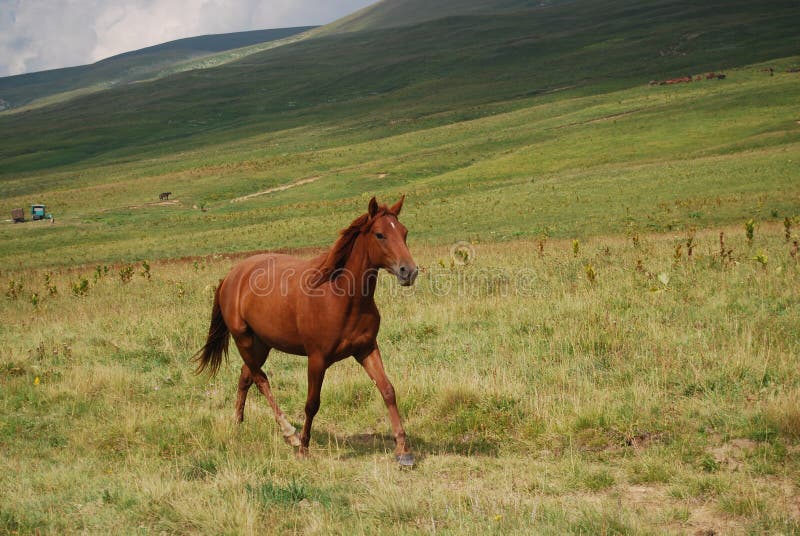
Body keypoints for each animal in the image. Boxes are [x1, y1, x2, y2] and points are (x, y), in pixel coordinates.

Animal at [194, 196, 419, 466]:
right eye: (380, 234)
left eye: (404, 232)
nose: (409, 271)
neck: (341, 296)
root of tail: (230, 276)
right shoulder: (317, 358)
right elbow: (312, 403)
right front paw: (303, 448)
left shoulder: (366, 349)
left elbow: (388, 391)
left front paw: (403, 450)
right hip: (244, 339)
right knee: (260, 378)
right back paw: (288, 432)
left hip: (261, 343)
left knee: (245, 376)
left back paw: (238, 423)